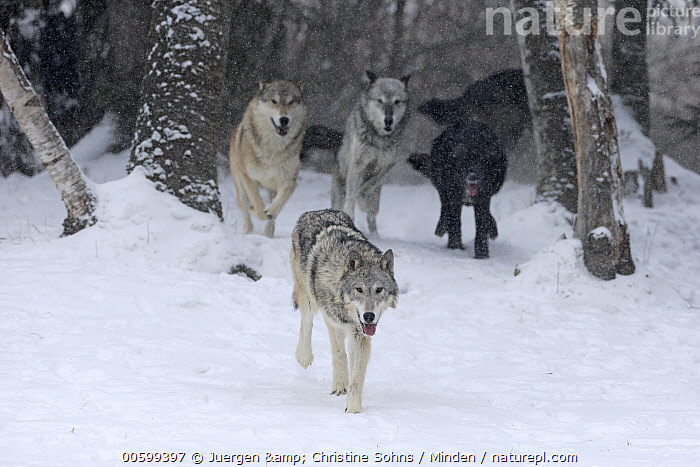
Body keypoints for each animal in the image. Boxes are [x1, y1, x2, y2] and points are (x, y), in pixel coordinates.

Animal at [229, 80, 307, 238]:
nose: (284, 119)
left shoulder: (290, 180)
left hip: (272, 189)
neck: (273, 150)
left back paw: (268, 235)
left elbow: (278, 204)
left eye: (291, 102)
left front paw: (270, 210)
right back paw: (248, 231)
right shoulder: (248, 177)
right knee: (245, 208)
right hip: (240, 185)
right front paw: (257, 210)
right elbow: (258, 206)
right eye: (274, 101)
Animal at [290, 209, 398, 413]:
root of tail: (316, 211)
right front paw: (340, 388)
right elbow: (340, 355)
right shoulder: (333, 321)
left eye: (379, 289)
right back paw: (304, 356)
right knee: (306, 320)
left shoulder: (360, 333)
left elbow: (357, 377)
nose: (369, 316)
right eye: (359, 289)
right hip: (306, 295)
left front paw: (354, 408)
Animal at [332, 71, 410, 234]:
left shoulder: (385, 167)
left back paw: (375, 234)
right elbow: (353, 194)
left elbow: (367, 188)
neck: (380, 139)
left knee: (372, 213)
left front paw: (363, 201)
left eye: (396, 101)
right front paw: (355, 207)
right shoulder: (357, 164)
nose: (388, 120)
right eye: (380, 100)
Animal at [408, 120, 507, 259]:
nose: (472, 177)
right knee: (444, 208)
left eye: (482, 160)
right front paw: (455, 247)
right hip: (442, 188)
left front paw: (482, 254)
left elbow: (481, 224)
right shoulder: (454, 196)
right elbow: (455, 221)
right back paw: (442, 227)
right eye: (465, 160)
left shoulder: (483, 198)